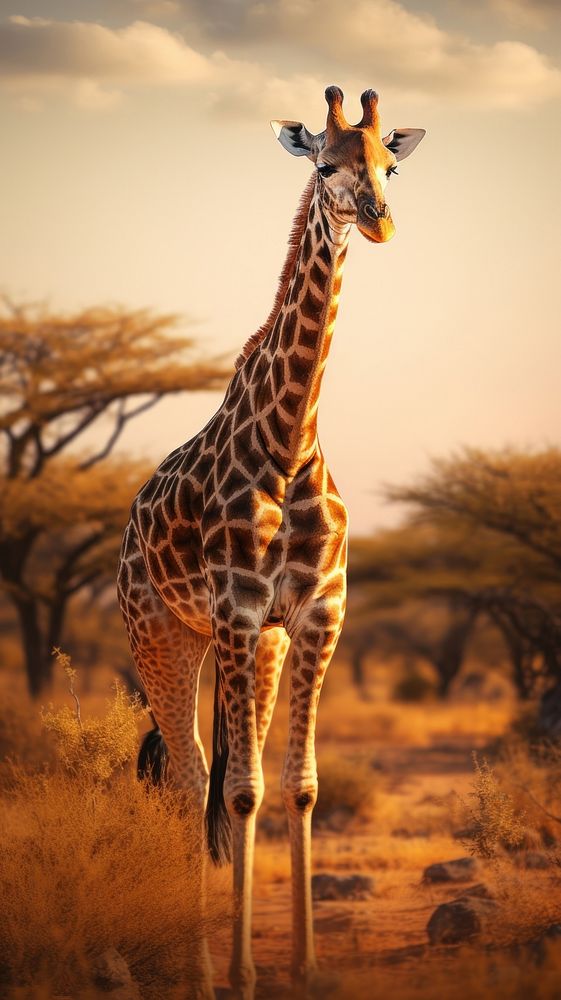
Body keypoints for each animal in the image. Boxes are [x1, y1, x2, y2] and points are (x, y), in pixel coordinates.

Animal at [117, 86, 425, 999]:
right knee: (190, 780)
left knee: (221, 776)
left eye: (390, 165)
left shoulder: (317, 613)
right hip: (164, 634)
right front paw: (243, 972)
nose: (378, 219)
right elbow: (242, 792)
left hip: (258, 644)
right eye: (324, 164)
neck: (289, 443)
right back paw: (198, 966)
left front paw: (306, 964)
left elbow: (297, 787)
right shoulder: (239, 610)